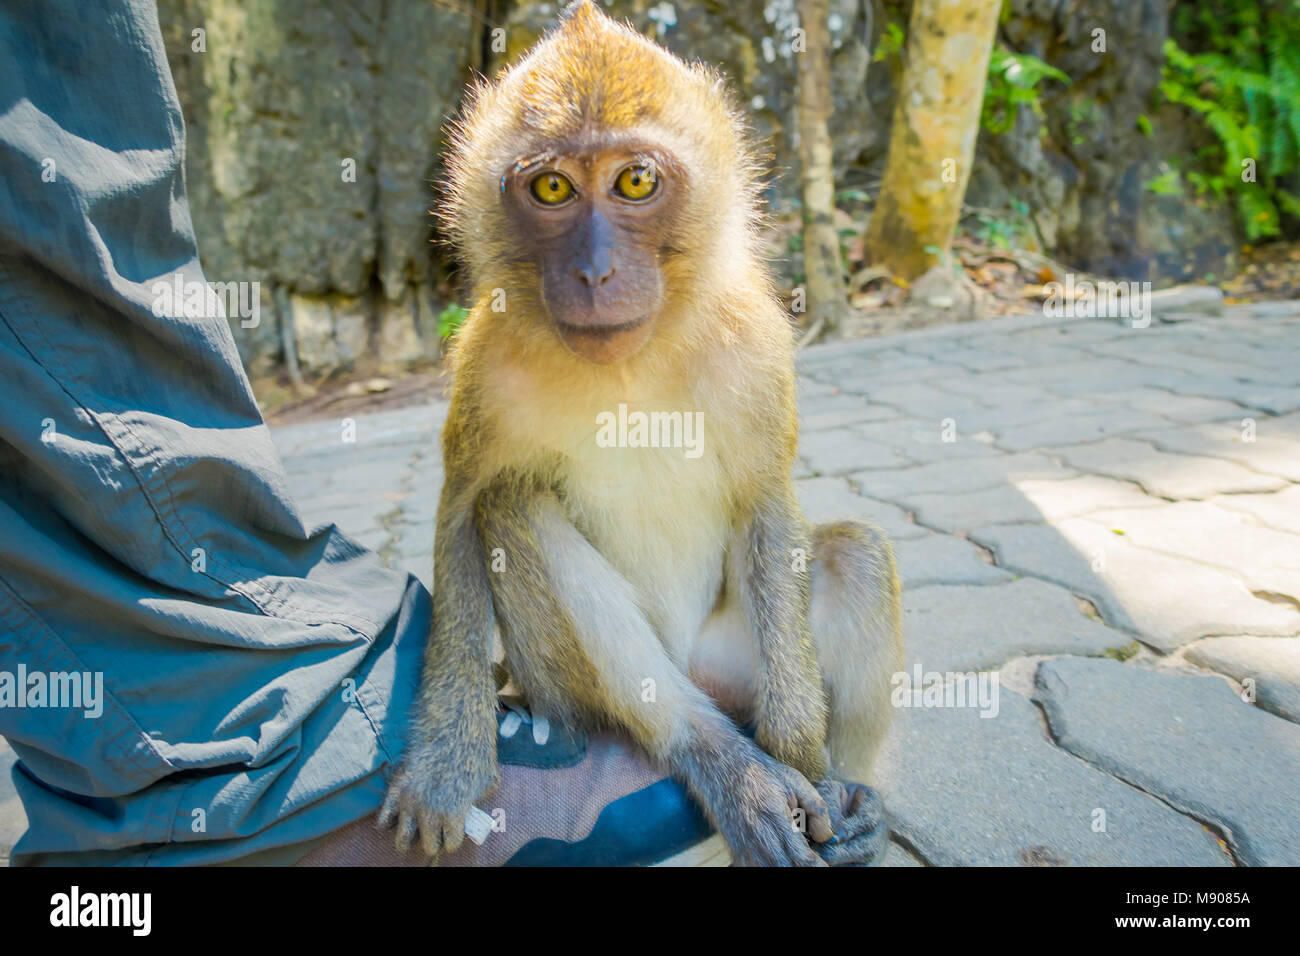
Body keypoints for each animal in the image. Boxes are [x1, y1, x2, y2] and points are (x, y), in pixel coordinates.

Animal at [379, 0, 903, 866]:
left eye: (635, 180)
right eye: (552, 187)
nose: (594, 272)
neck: (631, 365)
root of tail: (700, 676)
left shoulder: (755, 345)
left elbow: (766, 502)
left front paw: (809, 767)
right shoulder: (486, 364)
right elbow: (464, 509)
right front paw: (446, 765)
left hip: (735, 658)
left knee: (854, 555)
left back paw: (842, 791)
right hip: (600, 687)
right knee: (514, 510)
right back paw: (722, 763)